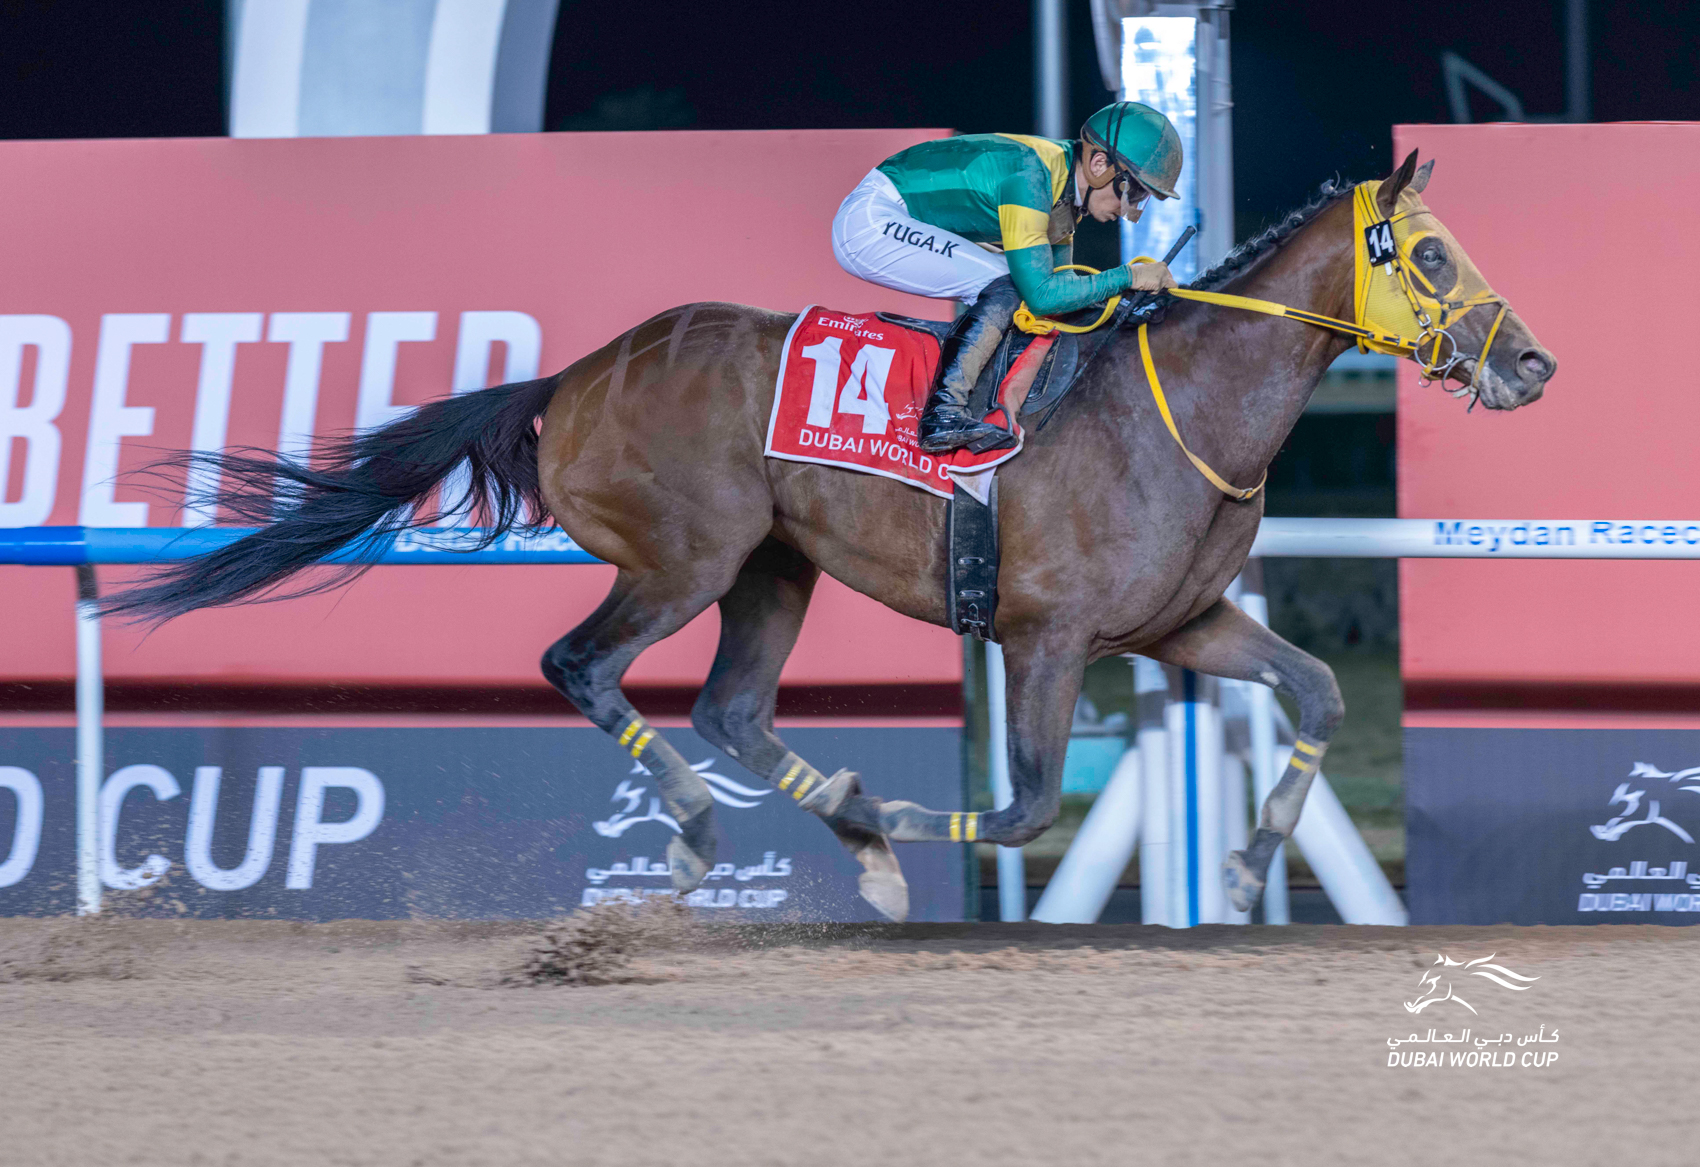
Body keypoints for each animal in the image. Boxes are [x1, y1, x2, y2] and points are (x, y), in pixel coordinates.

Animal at [104, 150, 1556, 922]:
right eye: (1428, 255)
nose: (1530, 361)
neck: (1178, 410)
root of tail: (579, 372)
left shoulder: (1180, 623)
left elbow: (1313, 690)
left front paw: (1252, 861)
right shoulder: (1049, 634)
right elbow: (1024, 804)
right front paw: (904, 811)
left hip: (772, 570)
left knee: (732, 709)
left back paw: (849, 840)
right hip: (682, 557)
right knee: (584, 668)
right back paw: (714, 832)